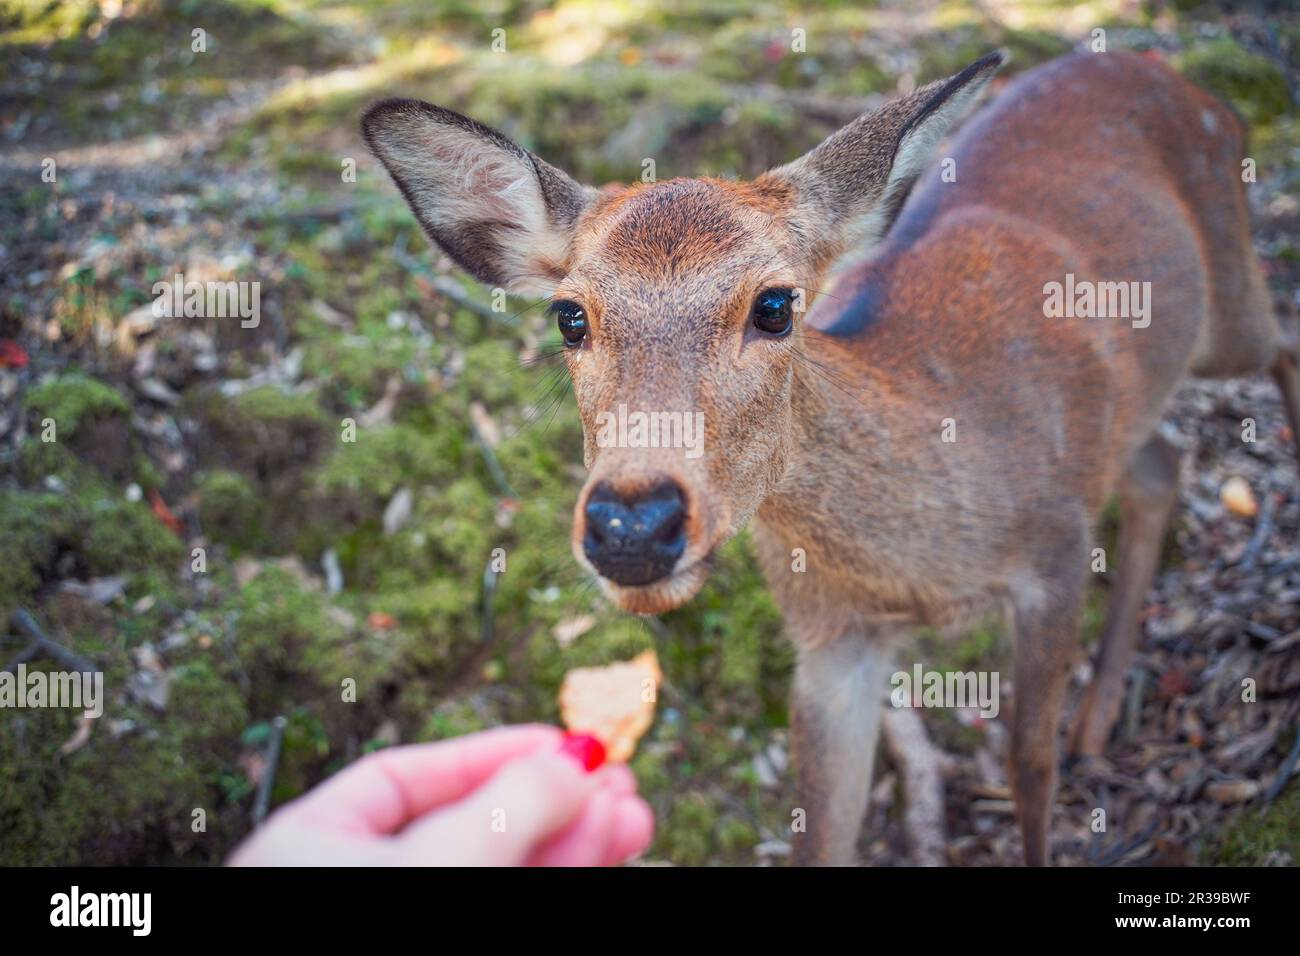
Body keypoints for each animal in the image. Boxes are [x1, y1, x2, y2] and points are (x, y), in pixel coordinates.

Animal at [363, 49, 1300, 866]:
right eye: (570, 317)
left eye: (776, 306)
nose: (633, 524)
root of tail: (1195, 88)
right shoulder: (830, 640)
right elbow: (822, 826)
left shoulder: (1056, 552)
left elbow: (1028, 767)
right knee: (1164, 461)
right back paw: (1101, 710)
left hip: (1226, 305)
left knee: (1278, 347)